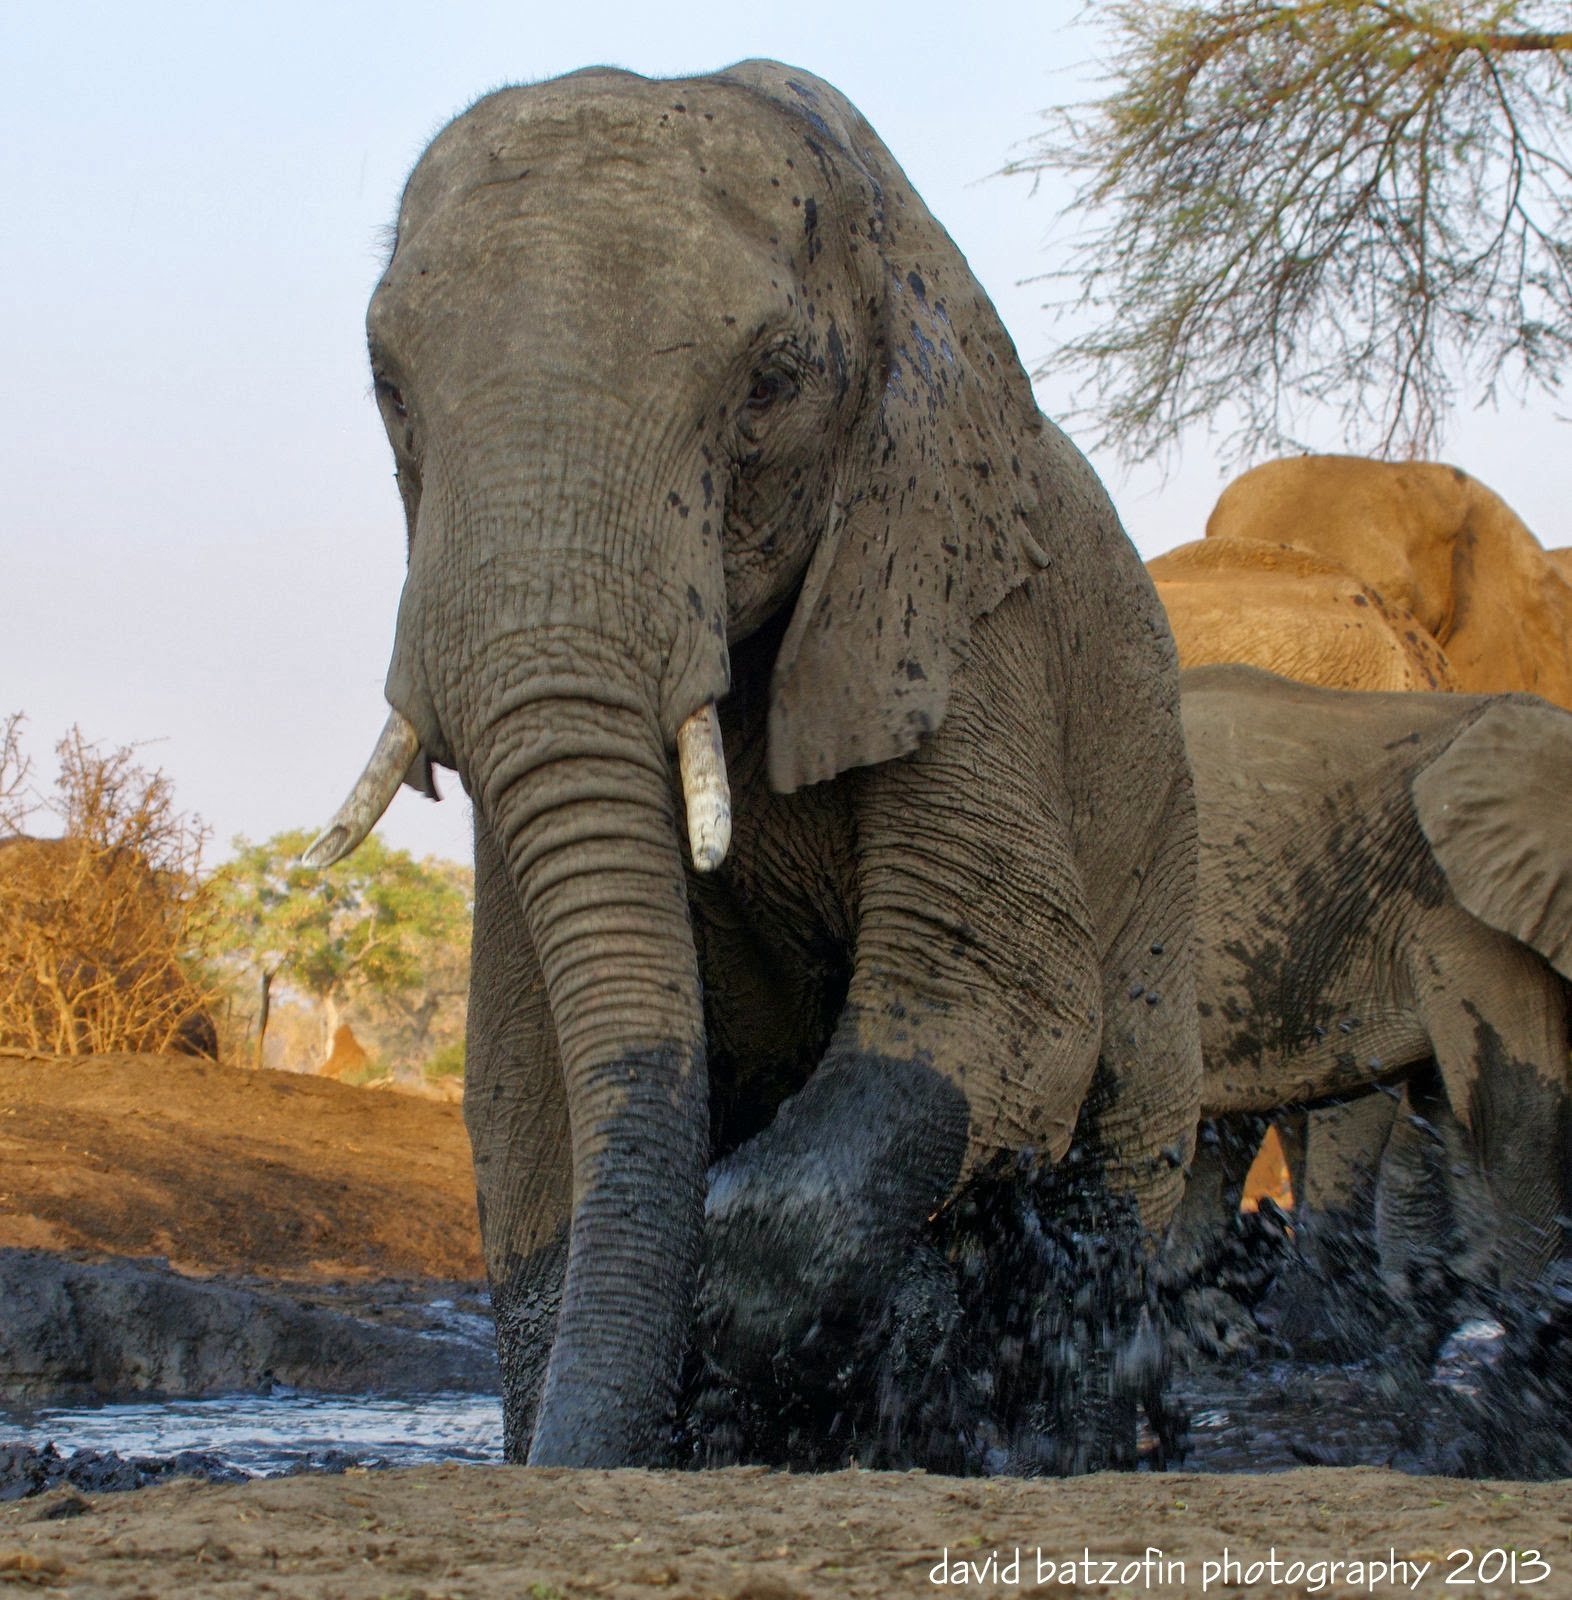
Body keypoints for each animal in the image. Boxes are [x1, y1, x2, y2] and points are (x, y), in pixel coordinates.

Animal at [306, 62, 1202, 1469]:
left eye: (773, 380)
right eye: (389, 388)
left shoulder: (960, 602)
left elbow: (992, 989)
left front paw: (730, 1345)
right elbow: (519, 1065)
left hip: (1165, 837)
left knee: (1122, 1161)